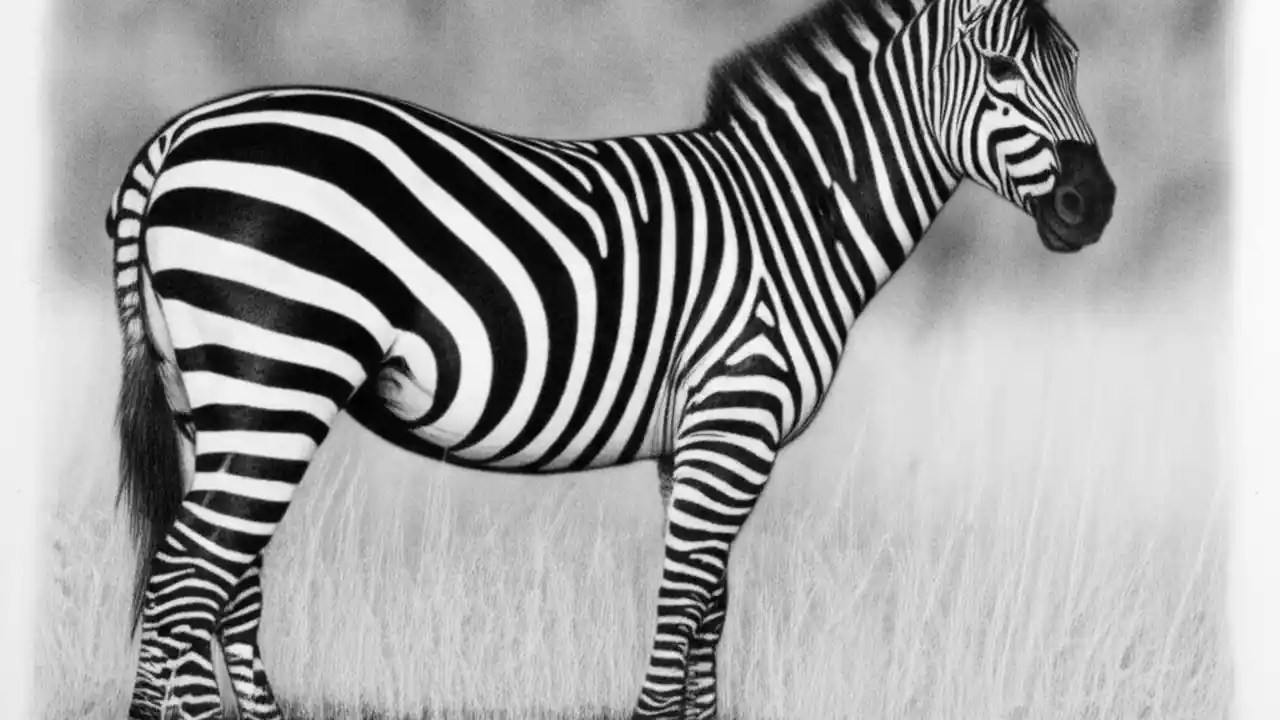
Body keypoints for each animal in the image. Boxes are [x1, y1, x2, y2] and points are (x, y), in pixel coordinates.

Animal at [107, 0, 1114, 718]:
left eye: (1073, 65)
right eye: (1000, 68)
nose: (1093, 204)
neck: (799, 214)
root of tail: (174, 137)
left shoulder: (696, 440)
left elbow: (710, 616)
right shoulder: (736, 416)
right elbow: (683, 610)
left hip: (214, 395)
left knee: (218, 587)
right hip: (280, 375)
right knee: (186, 583)